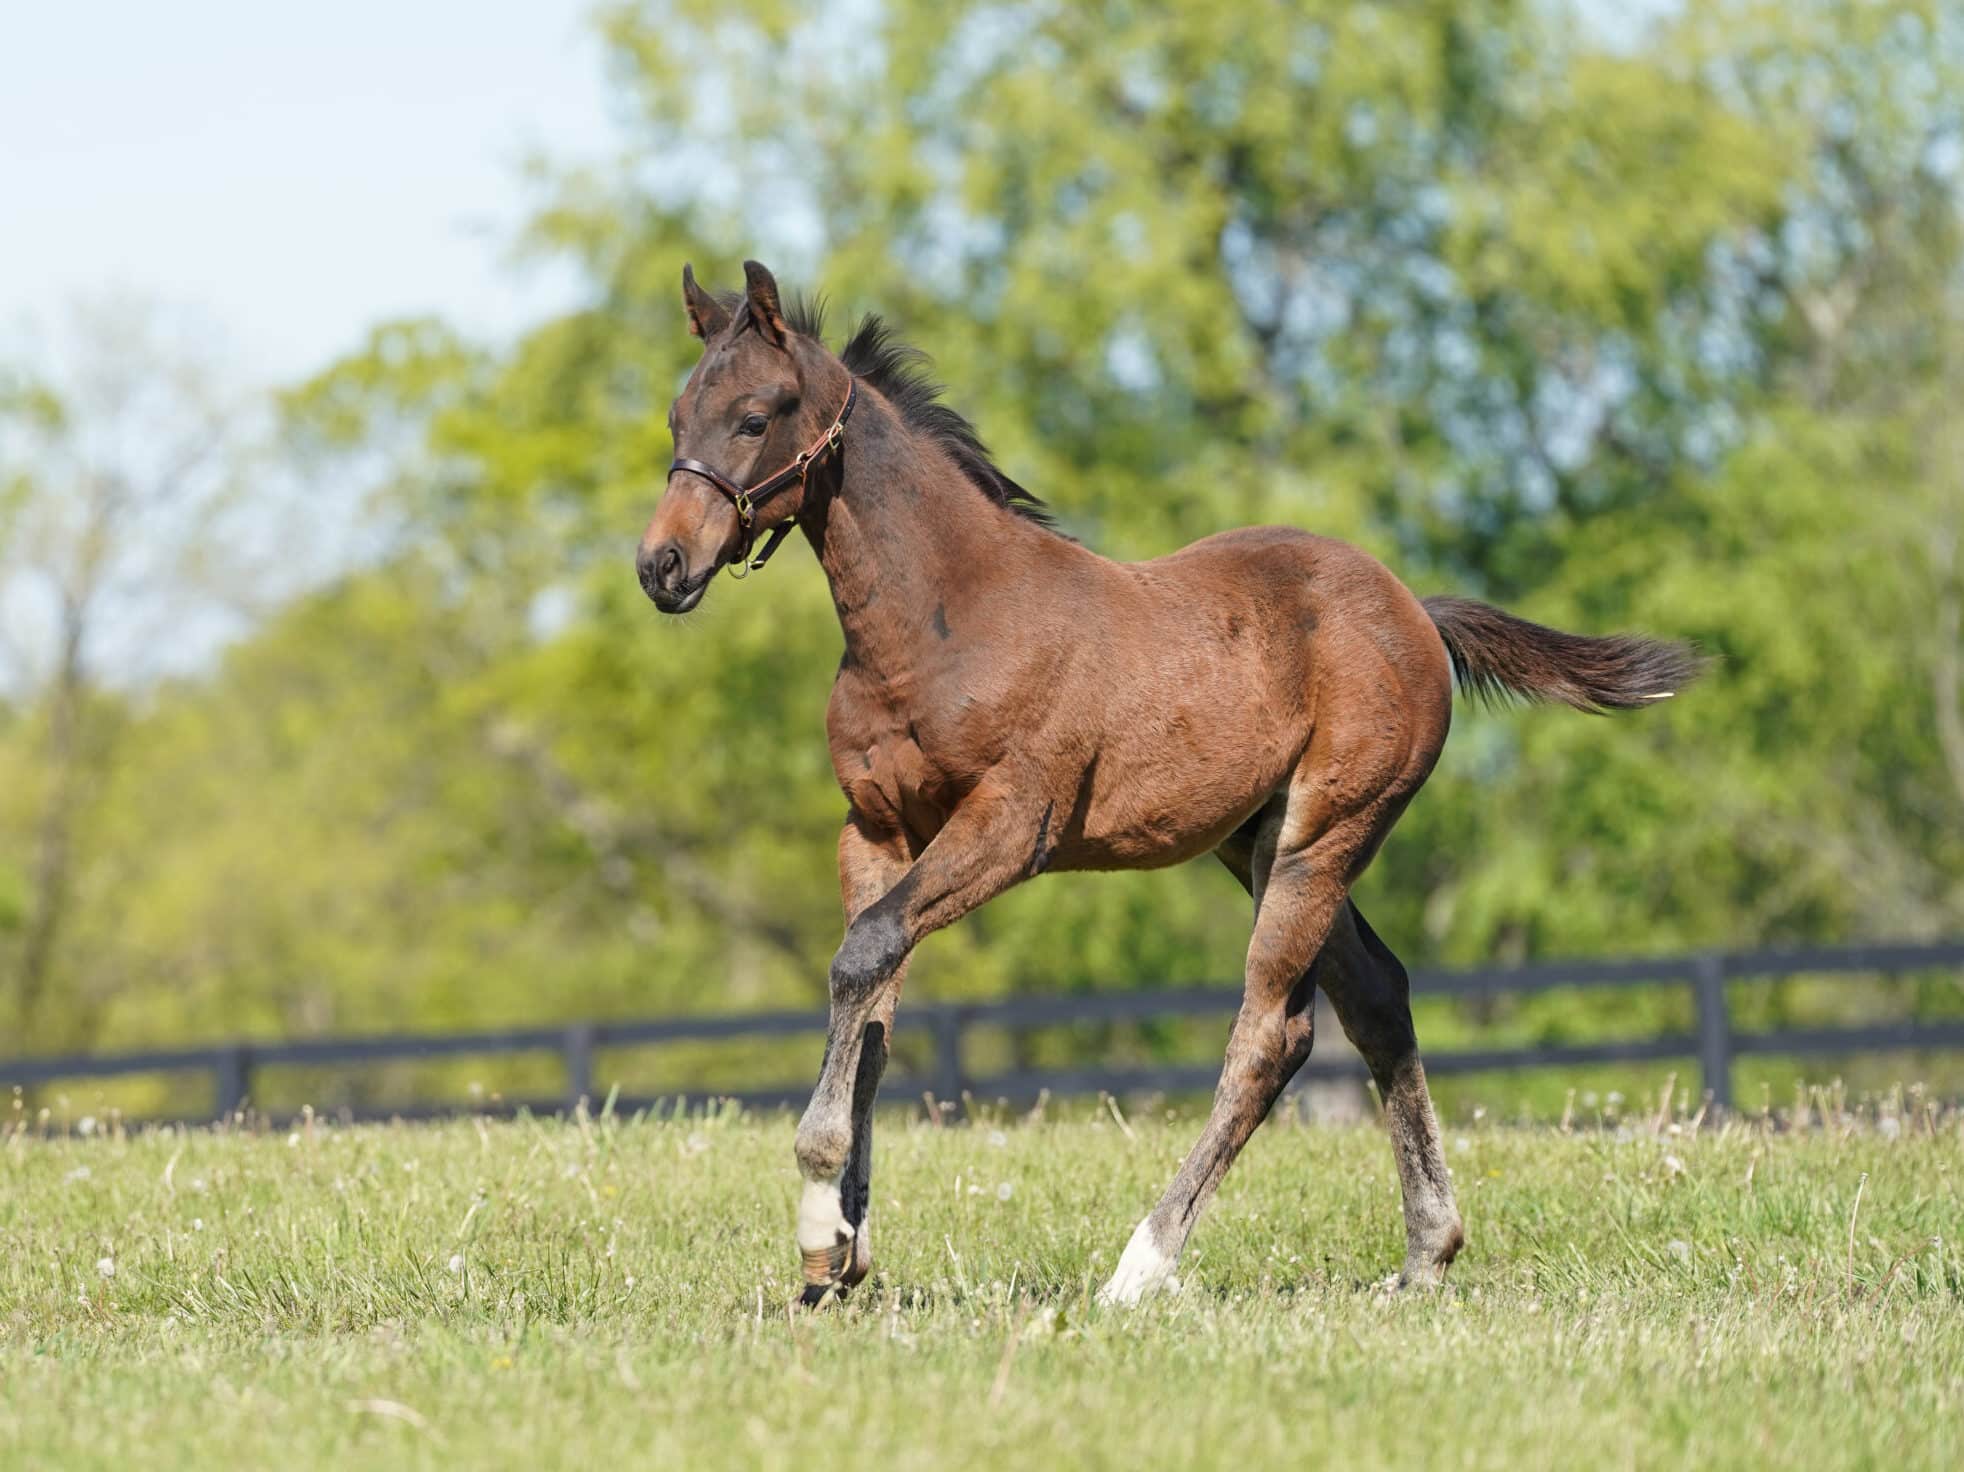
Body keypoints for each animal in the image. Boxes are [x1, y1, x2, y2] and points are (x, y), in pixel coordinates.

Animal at [636, 260, 1701, 1306]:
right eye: (678, 416)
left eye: (757, 415)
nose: (661, 566)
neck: (942, 622)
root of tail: (1415, 611)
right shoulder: (874, 829)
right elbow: (875, 1009)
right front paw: (839, 1255)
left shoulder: (1012, 825)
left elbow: (862, 962)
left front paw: (822, 1223)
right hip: (1258, 841)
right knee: (1378, 999)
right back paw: (1425, 1253)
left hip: (1326, 835)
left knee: (1273, 1036)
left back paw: (1140, 1268)